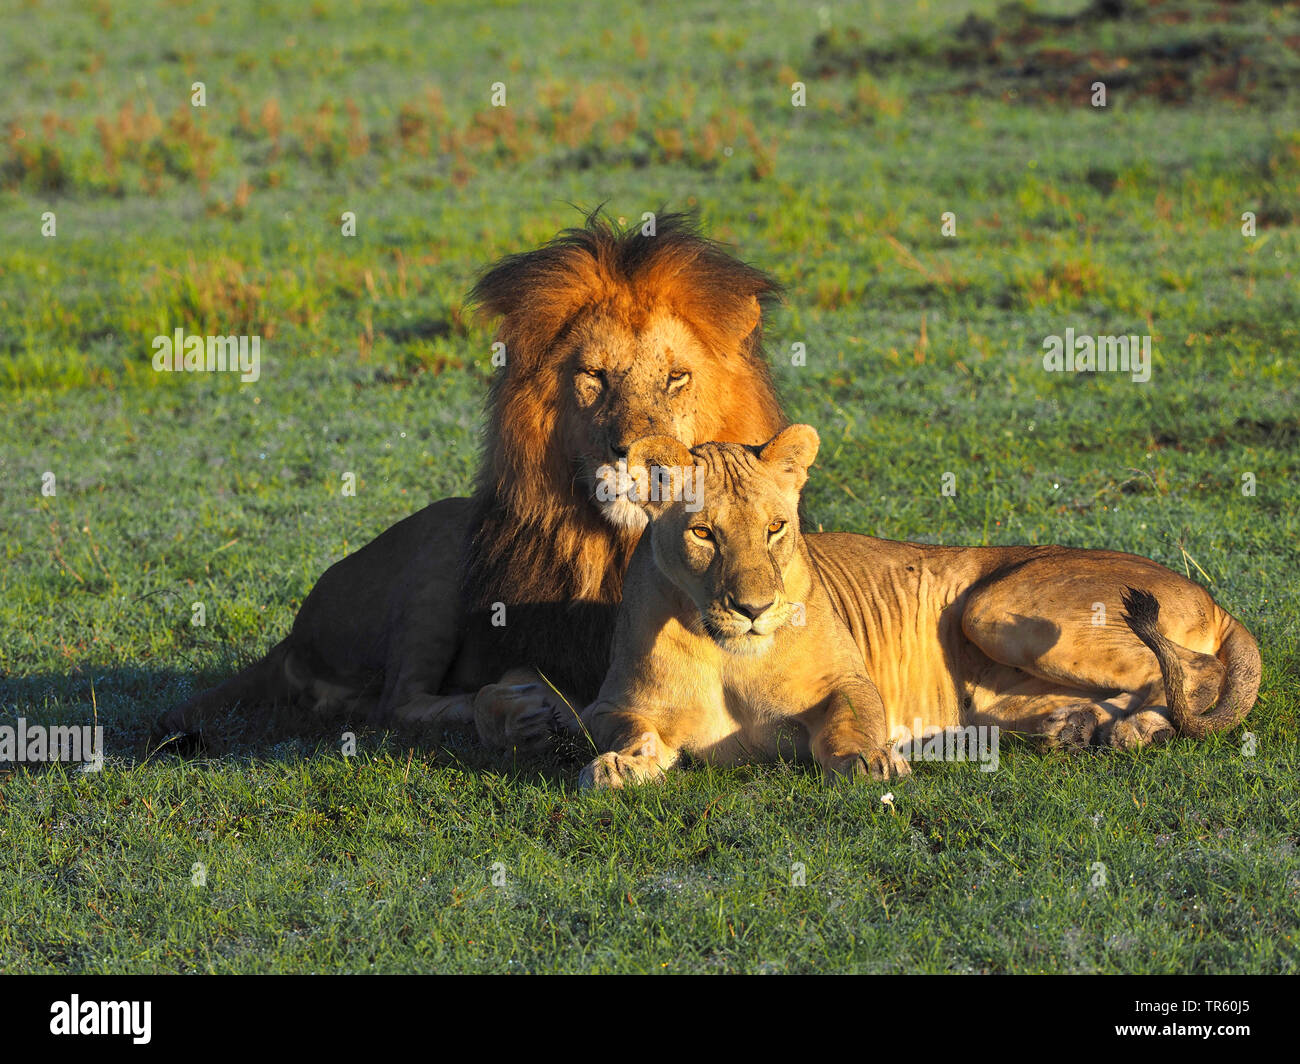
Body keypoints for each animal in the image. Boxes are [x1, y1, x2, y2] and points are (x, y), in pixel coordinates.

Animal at [156, 211, 787, 750]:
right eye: (594, 376)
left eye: (677, 377)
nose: (638, 456)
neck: (623, 544)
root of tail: (292, 636)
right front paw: (529, 710)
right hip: (437, 554)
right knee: (397, 704)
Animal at [577, 426, 1261, 789]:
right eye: (703, 534)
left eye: (775, 528)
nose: (754, 608)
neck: (728, 653)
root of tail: (1213, 600)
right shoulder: (610, 706)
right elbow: (631, 731)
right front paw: (618, 767)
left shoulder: (849, 680)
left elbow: (851, 722)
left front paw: (872, 761)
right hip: (994, 685)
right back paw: (1076, 728)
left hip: (990, 606)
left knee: (1195, 673)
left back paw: (1134, 729)